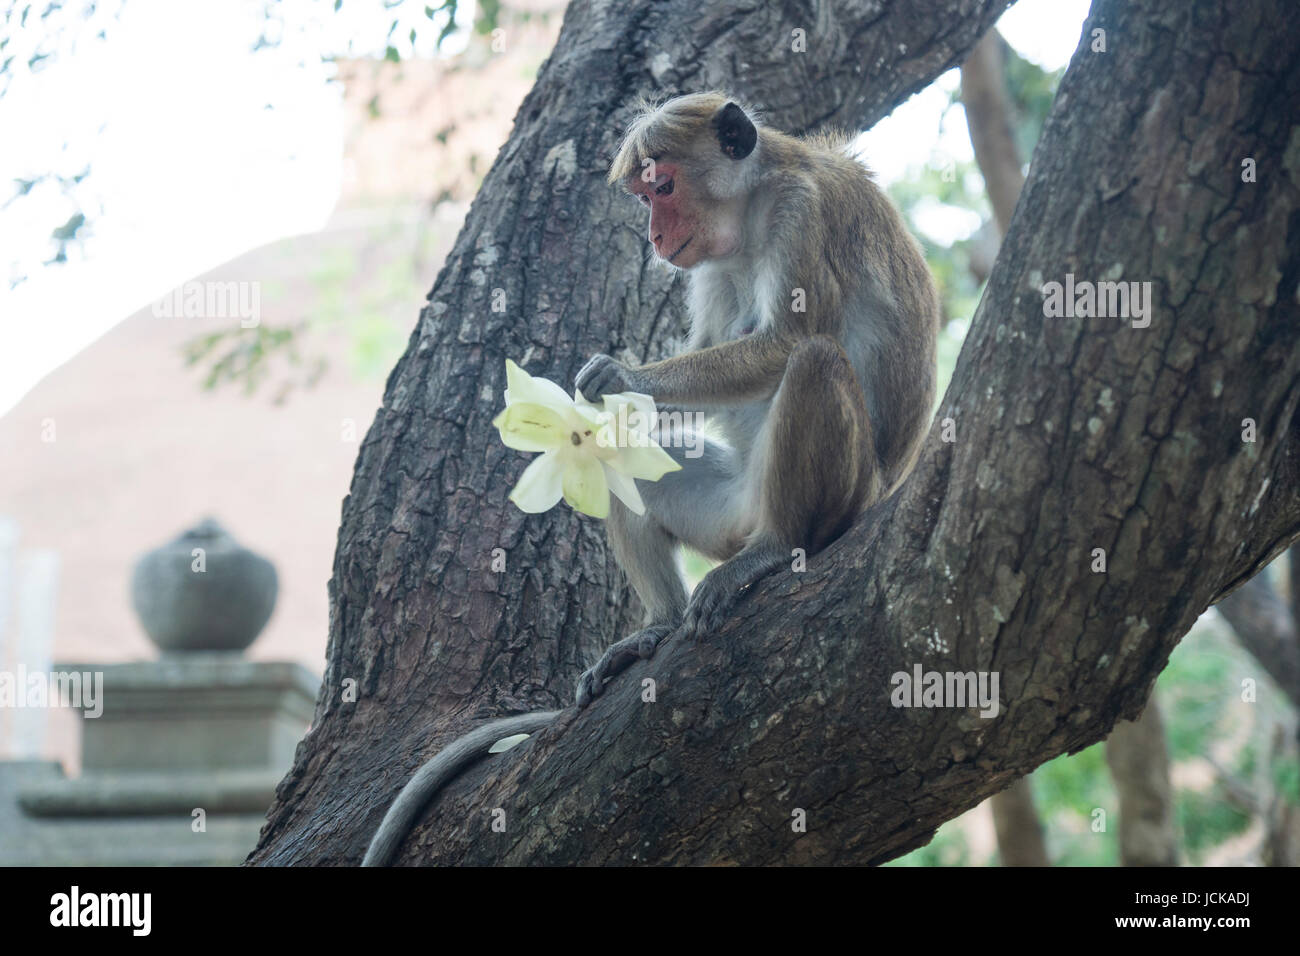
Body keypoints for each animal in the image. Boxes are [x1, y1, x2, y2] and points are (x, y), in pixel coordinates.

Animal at [361, 92, 938, 865]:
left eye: (661, 187)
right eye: (643, 195)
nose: (656, 236)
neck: (752, 204)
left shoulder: (802, 210)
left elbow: (787, 341)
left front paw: (624, 377)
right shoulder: (711, 263)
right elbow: (699, 357)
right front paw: (601, 403)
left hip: (845, 495)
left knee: (813, 360)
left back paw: (773, 551)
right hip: (723, 511)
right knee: (623, 462)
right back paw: (656, 627)